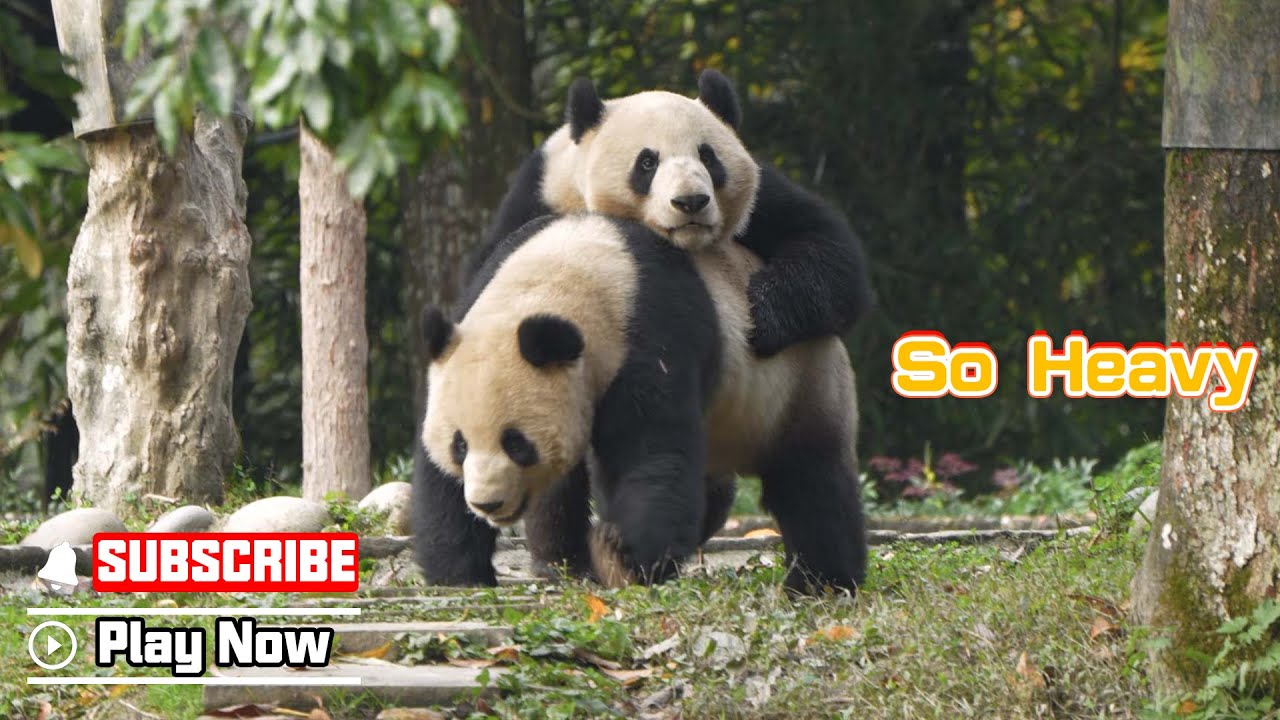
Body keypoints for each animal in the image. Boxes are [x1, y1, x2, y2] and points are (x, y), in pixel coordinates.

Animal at [412, 212, 866, 594]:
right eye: (460, 445)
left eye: (517, 444)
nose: (487, 503)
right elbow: (439, 479)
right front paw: (457, 573)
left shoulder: (649, 328)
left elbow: (652, 450)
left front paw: (619, 553)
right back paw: (566, 564)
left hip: (799, 386)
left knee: (809, 480)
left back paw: (822, 582)